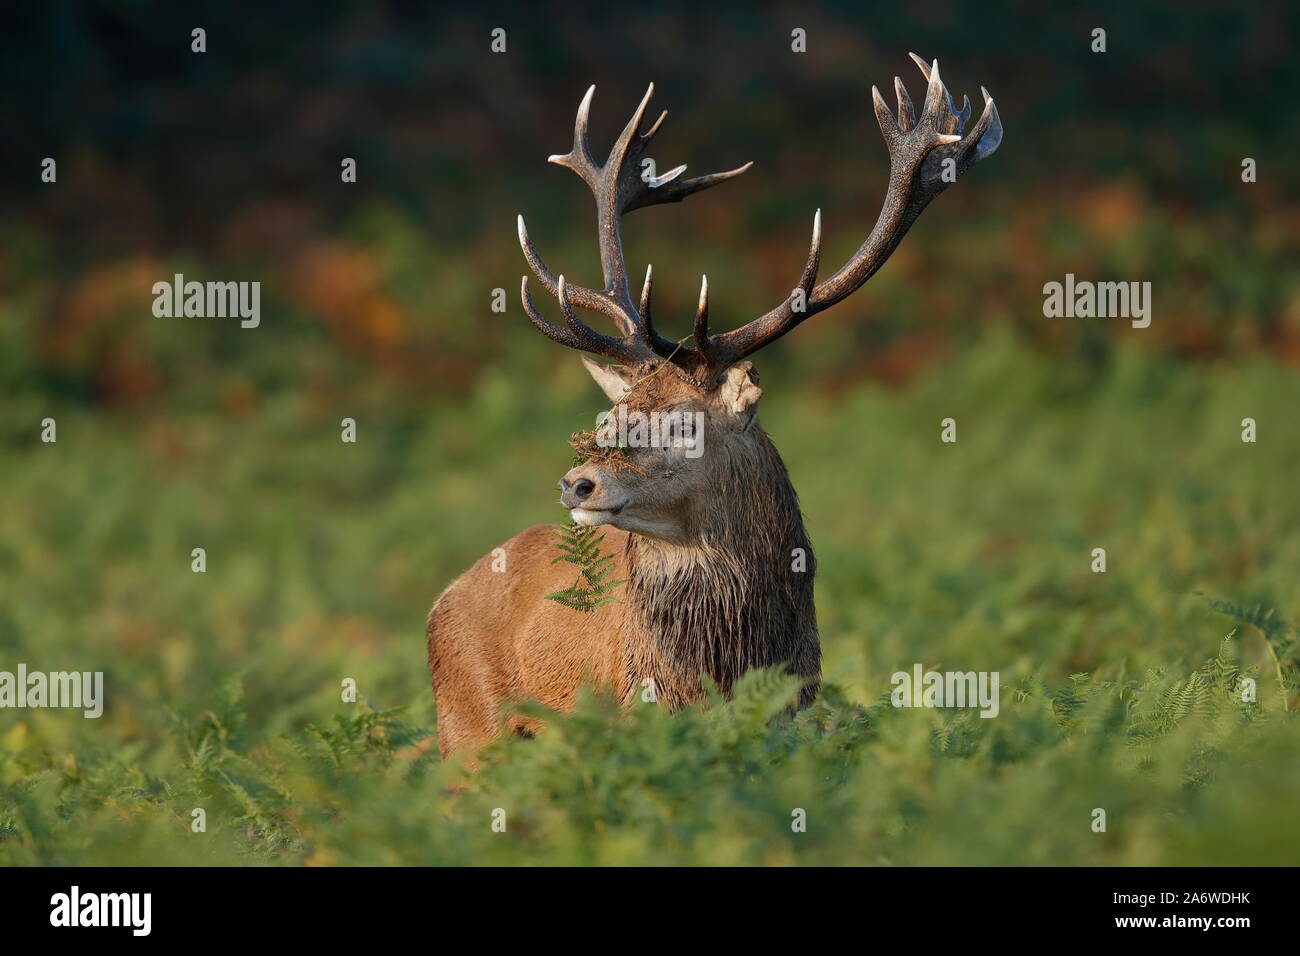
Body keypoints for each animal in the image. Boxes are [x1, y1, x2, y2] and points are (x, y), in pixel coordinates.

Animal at [427, 55, 1002, 759]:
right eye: (609, 418)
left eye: (682, 423)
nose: (575, 482)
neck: (726, 675)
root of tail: (443, 597)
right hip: (466, 729)